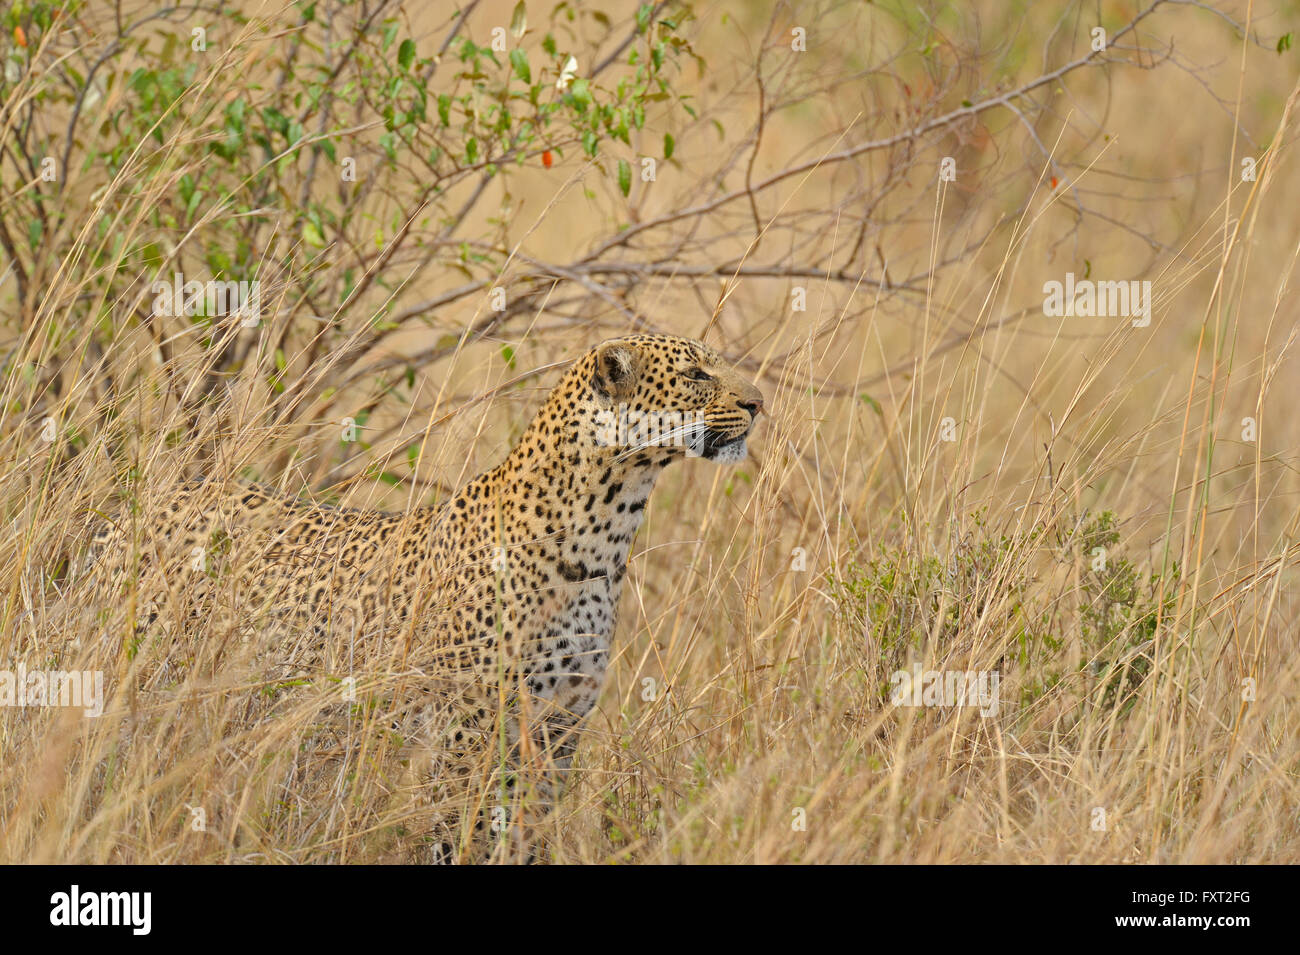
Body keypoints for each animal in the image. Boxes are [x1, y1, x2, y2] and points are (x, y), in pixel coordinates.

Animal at [81, 333, 764, 861]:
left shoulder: (557, 728)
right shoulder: (467, 729)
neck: (603, 539)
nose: (759, 403)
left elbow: (531, 831)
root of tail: (132, 513)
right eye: (697, 376)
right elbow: (462, 830)